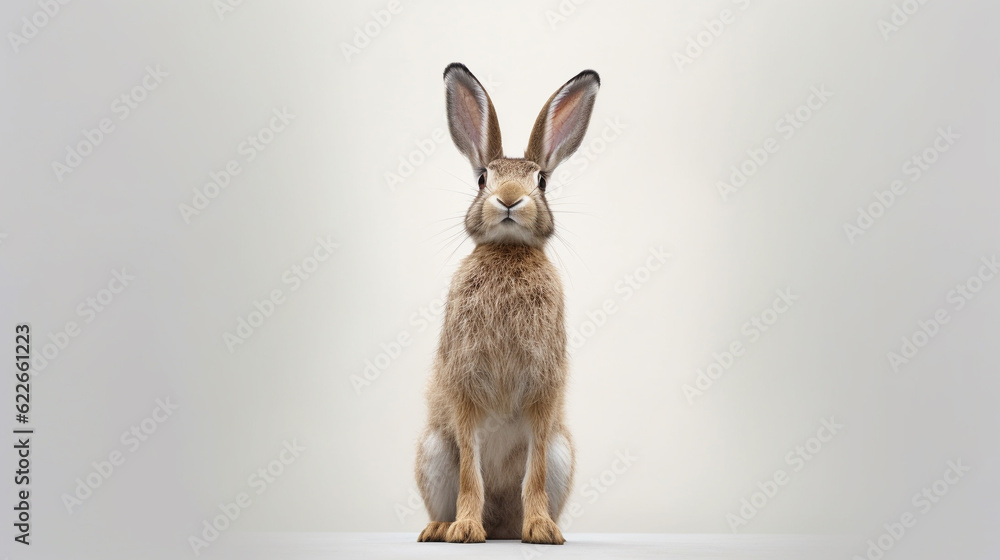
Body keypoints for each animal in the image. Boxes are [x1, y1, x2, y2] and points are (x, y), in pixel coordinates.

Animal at [415, 63, 600, 545]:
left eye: (542, 181)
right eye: (482, 178)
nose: (511, 199)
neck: (508, 251)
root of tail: (499, 527)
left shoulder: (543, 393)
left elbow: (533, 475)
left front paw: (541, 532)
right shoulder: (463, 388)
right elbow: (470, 472)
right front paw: (465, 530)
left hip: (561, 452)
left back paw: (528, 528)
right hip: (433, 450)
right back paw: (442, 528)